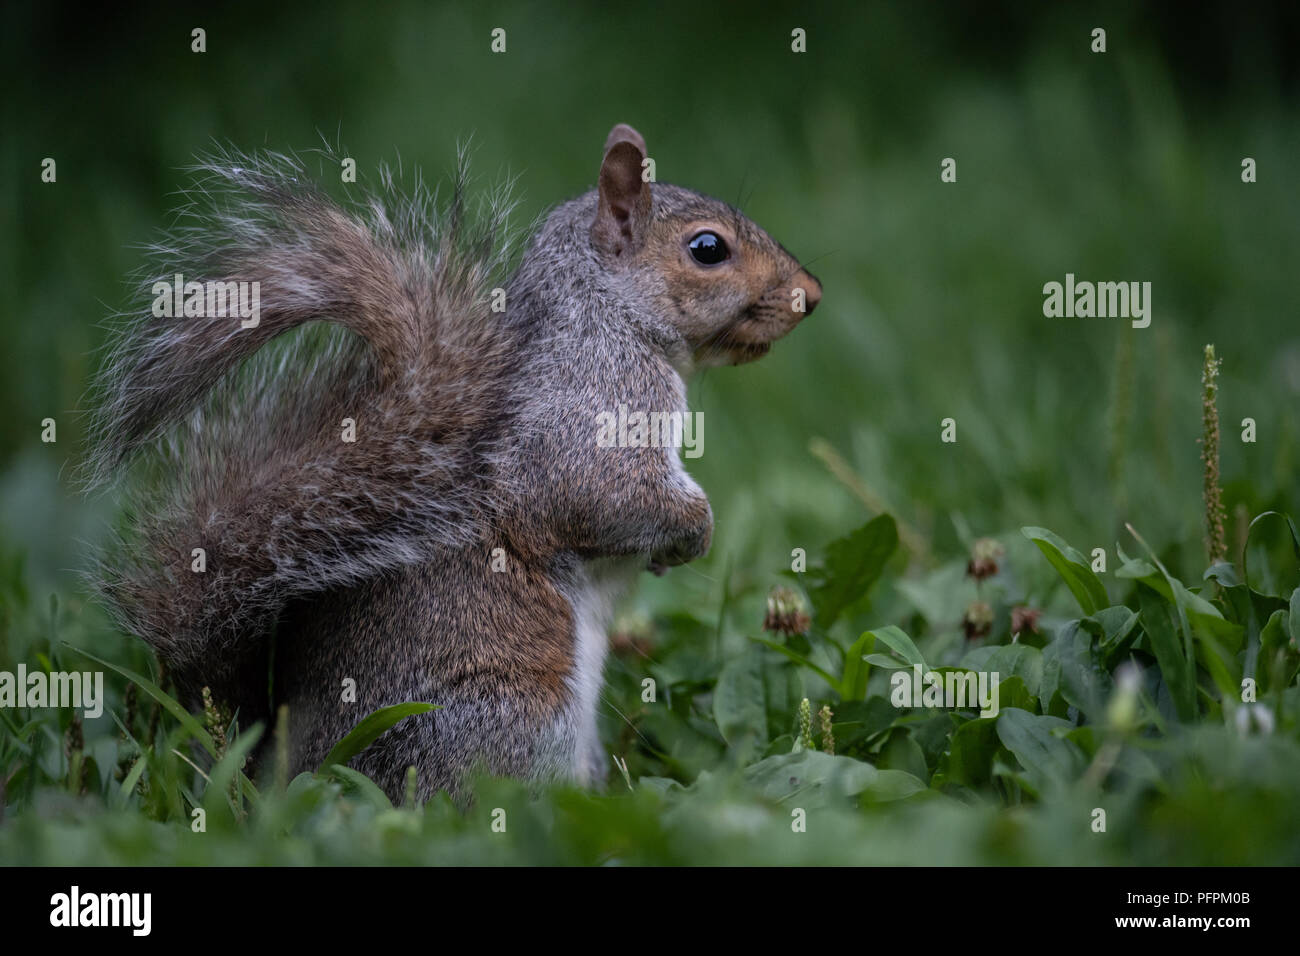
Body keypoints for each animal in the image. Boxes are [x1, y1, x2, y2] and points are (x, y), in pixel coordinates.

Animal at [86, 124, 820, 801]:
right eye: (707, 249)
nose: (810, 294)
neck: (605, 315)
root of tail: (278, 769)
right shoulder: (595, 404)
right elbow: (600, 495)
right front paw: (696, 530)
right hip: (515, 715)